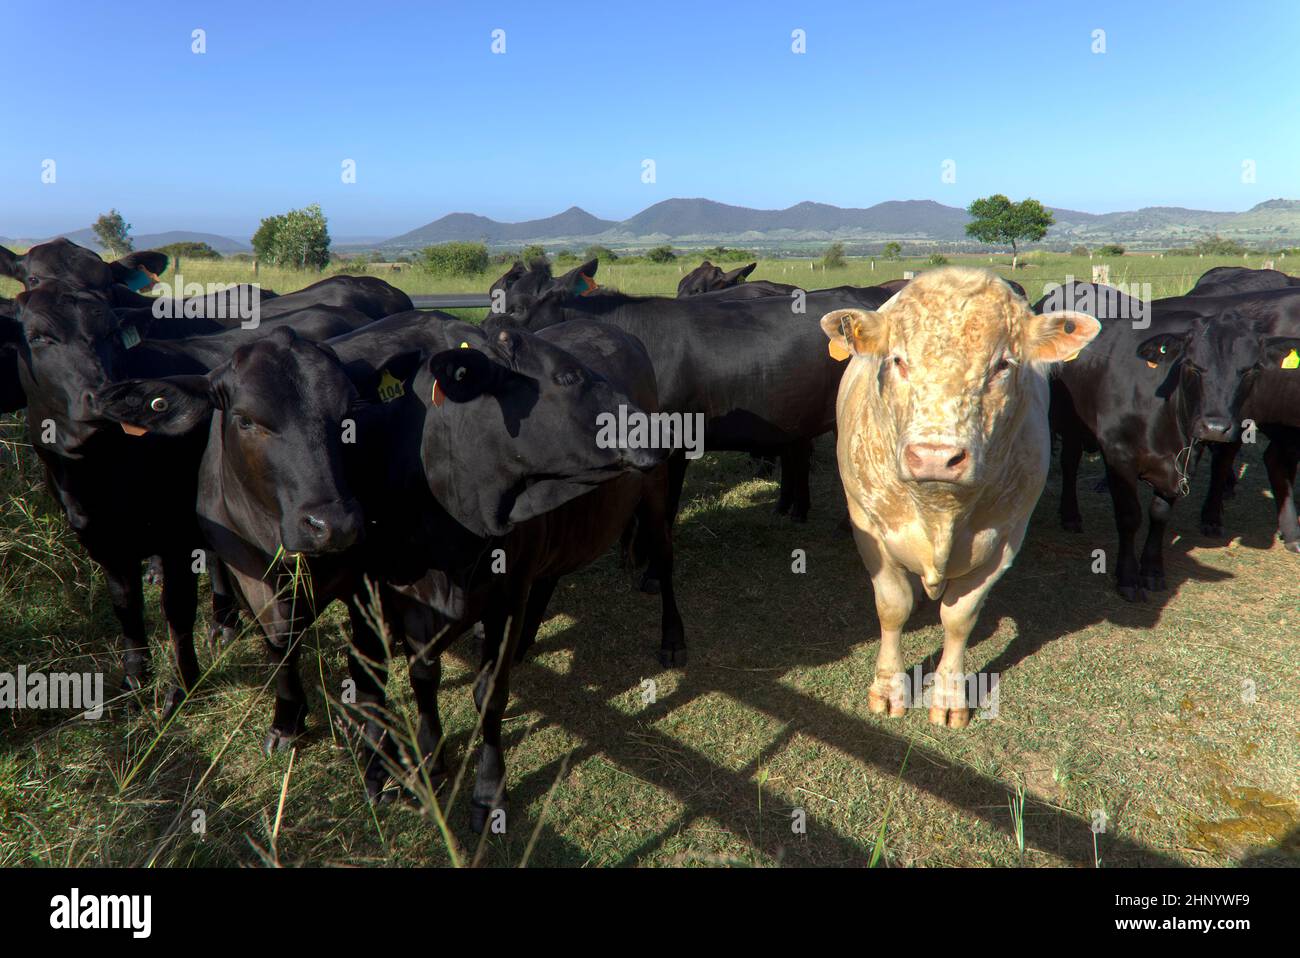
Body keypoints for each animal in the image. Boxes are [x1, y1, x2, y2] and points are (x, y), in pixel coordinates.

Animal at [822, 267, 1098, 727]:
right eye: (897, 360)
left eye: (1002, 365)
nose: (935, 456)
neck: (940, 513)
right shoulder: (868, 527)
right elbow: (892, 607)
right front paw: (889, 688)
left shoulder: (1003, 541)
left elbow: (959, 619)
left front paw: (950, 696)